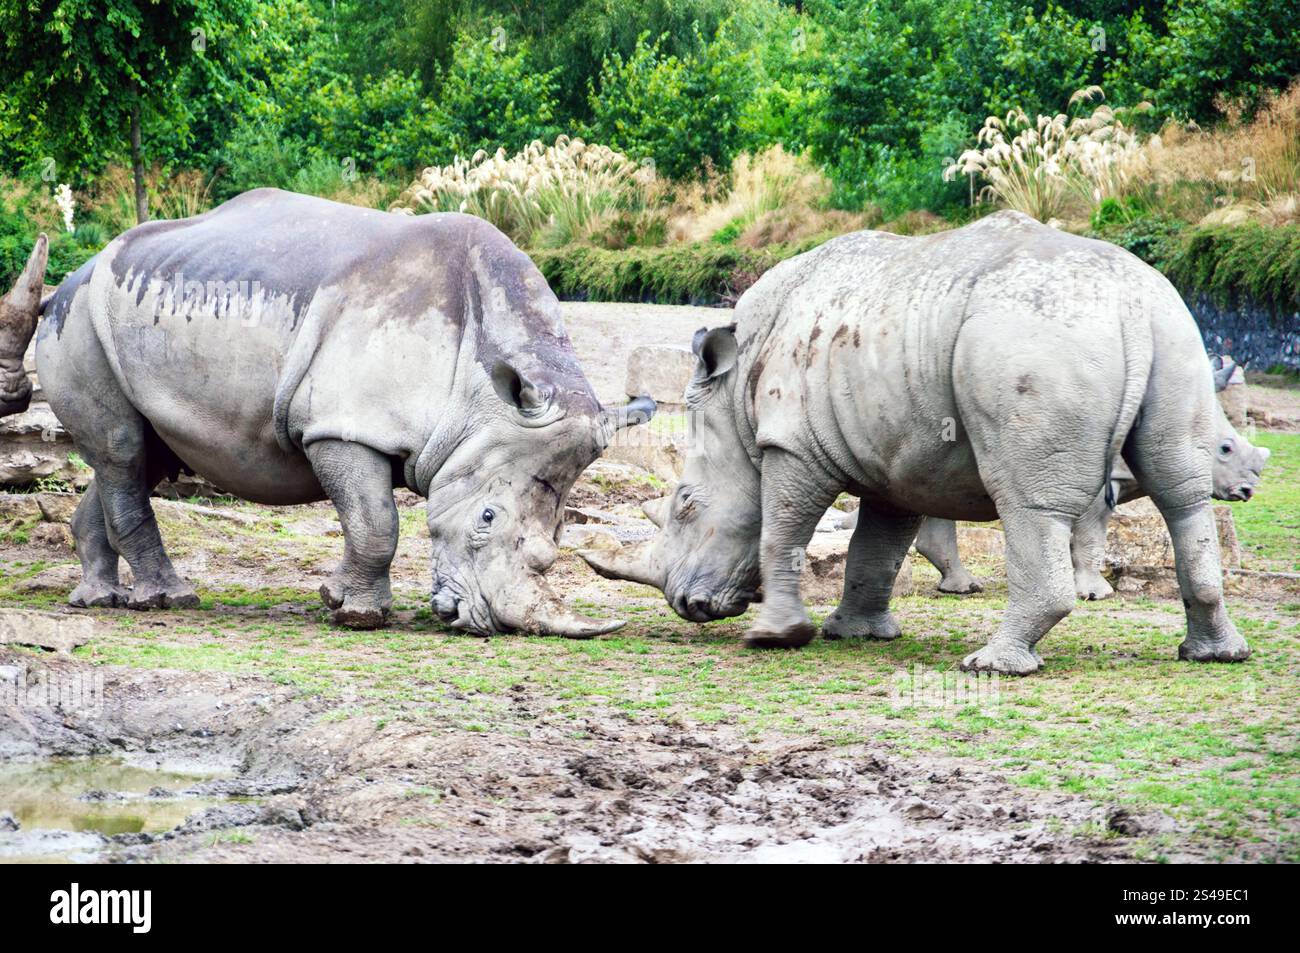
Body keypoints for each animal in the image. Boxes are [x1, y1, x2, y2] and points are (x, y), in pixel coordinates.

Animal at [0, 189, 653, 636]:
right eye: (486, 518)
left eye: (562, 533)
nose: (483, 622)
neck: (483, 395)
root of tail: (70, 279)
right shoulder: (342, 427)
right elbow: (375, 520)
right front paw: (359, 615)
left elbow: (369, 520)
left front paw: (338, 599)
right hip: (84, 320)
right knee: (123, 450)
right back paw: (168, 600)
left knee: (142, 455)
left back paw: (98, 599)